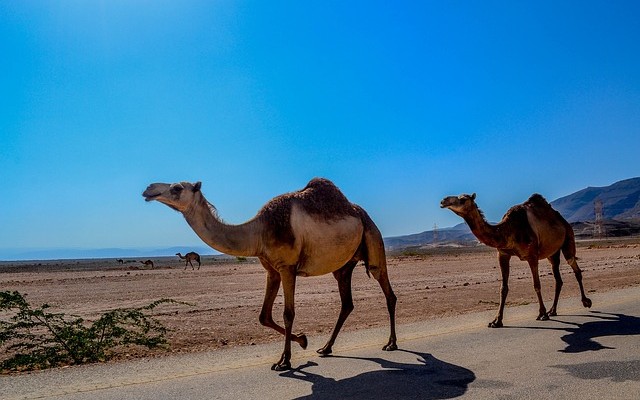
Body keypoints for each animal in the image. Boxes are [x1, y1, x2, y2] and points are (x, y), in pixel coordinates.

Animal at [143, 178, 397, 370]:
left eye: (177, 188)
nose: (148, 189)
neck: (259, 231)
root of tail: (361, 213)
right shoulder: (272, 270)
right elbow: (263, 316)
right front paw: (303, 341)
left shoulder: (287, 267)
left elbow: (288, 314)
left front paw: (285, 361)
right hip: (343, 266)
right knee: (347, 303)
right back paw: (326, 348)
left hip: (372, 238)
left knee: (387, 292)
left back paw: (391, 344)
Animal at [440, 193, 592, 328]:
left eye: (463, 199)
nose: (443, 201)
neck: (508, 230)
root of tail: (563, 221)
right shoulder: (502, 254)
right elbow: (503, 288)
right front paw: (496, 321)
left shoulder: (532, 256)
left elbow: (536, 285)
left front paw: (542, 314)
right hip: (552, 253)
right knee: (558, 279)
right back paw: (553, 310)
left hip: (568, 238)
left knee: (574, 267)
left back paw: (586, 302)